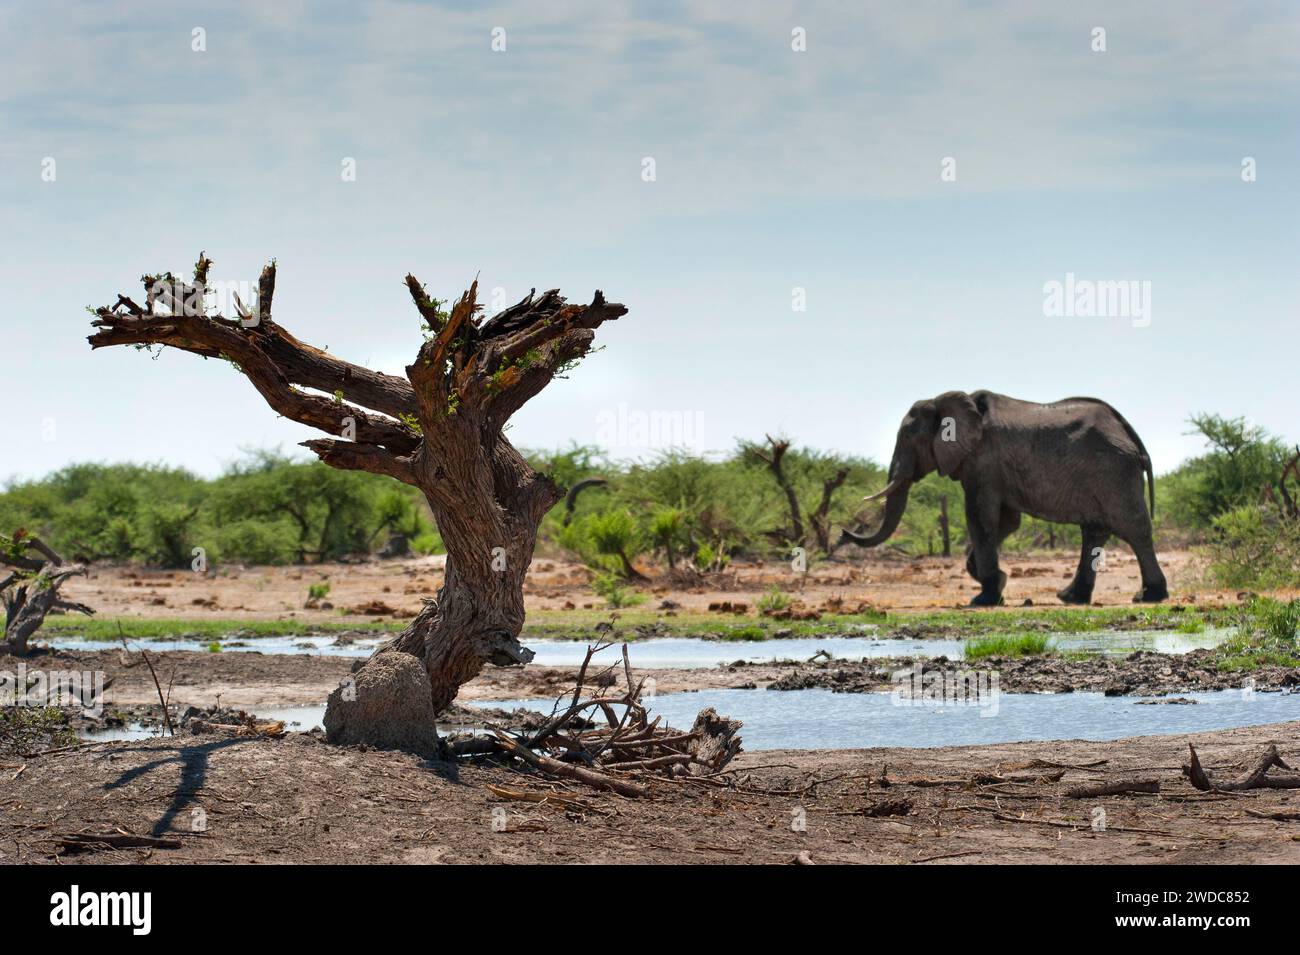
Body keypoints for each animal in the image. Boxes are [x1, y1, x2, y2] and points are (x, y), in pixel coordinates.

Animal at [839, 390, 1168, 607]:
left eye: (908, 437)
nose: (843, 533)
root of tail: (1130, 434)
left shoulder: (983, 462)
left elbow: (979, 516)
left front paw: (984, 598)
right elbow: (1006, 522)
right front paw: (998, 582)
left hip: (1114, 471)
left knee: (1133, 529)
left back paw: (1148, 596)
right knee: (1094, 532)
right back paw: (1070, 598)